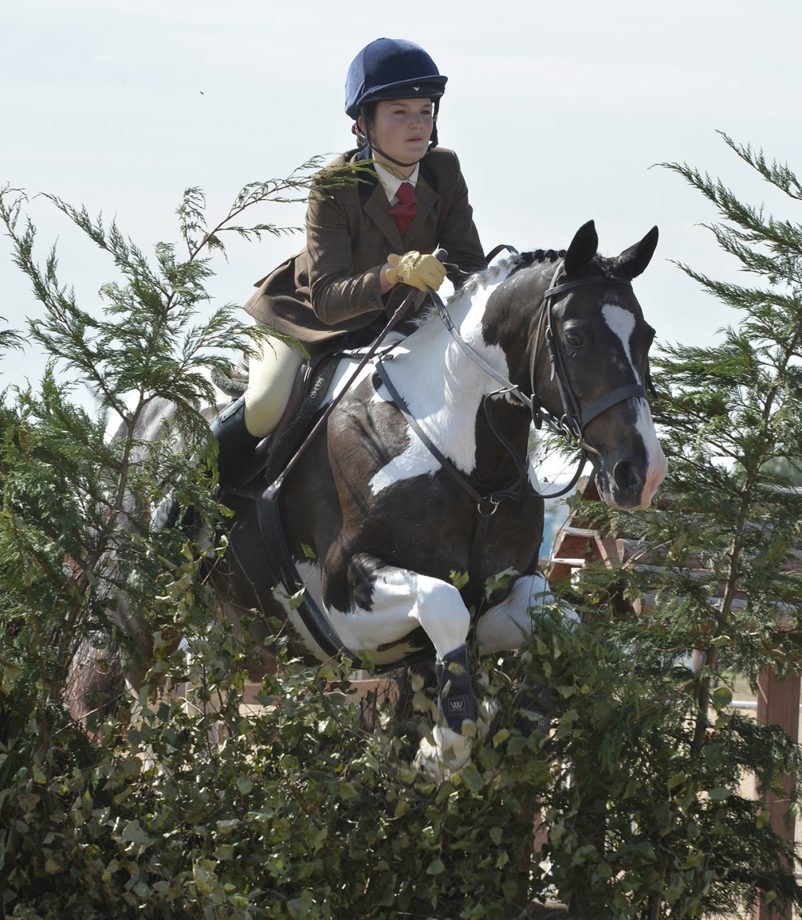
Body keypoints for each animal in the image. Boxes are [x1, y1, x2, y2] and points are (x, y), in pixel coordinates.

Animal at [71, 219, 667, 767]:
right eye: (575, 337)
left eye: (647, 337)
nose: (641, 474)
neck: (469, 466)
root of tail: (136, 418)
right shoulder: (344, 599)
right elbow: (443, 604)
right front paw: (442, 746)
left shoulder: (498, 599)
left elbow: (557, 620)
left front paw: (517, 719)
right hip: (140, 618)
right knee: (137, 703)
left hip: (228, 632)